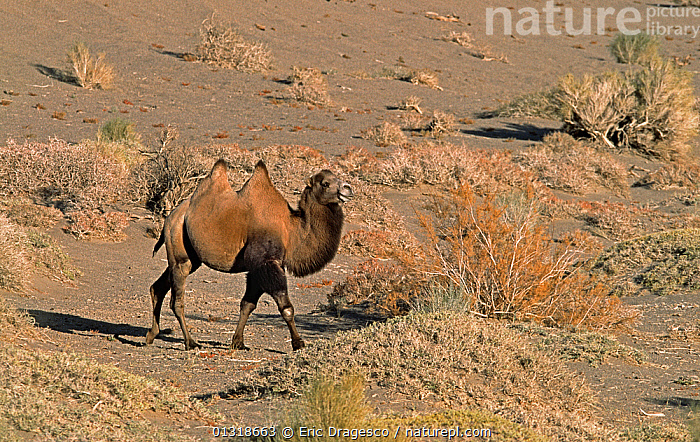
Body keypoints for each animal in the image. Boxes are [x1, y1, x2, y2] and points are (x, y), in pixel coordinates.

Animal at [145, 159, 353, 351]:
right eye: (325, 183)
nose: (348, 188)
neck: (290, 230)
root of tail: (171, 216)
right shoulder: (267, 262)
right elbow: (285, 307)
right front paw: (298, 343)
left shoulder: (257, 268)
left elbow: (247, 304)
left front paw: (238, 342)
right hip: (180, 250)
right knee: (177, 300)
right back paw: (190, 342)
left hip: (189, 257)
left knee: (158, 287)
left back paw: (151, 335)